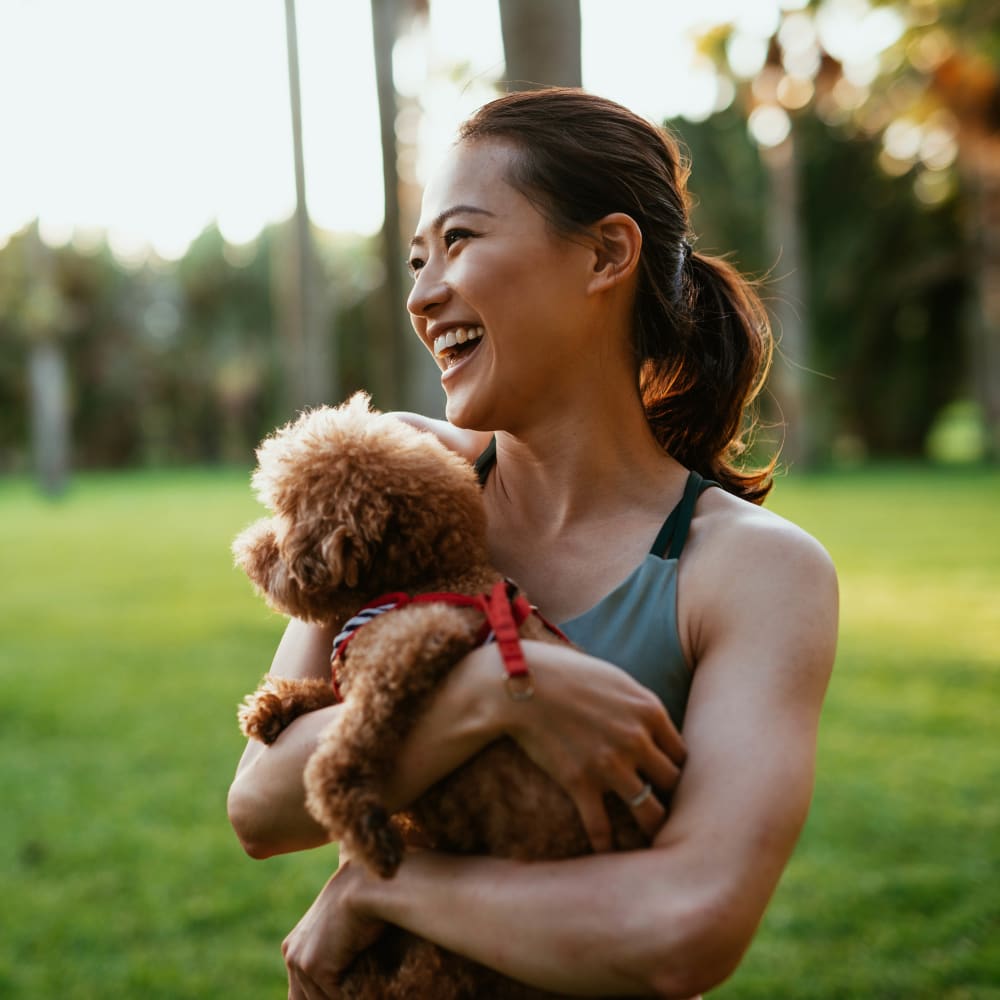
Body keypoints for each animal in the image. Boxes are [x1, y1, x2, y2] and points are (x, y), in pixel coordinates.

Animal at [231, 394, 644, 996]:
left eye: (287, 516)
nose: (247, 548)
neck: (423, 581)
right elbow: (333, 695)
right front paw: (275, 706)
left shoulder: (414, 646)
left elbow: (346, 743)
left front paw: (358, 821)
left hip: (466, 939)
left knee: (420, 977)